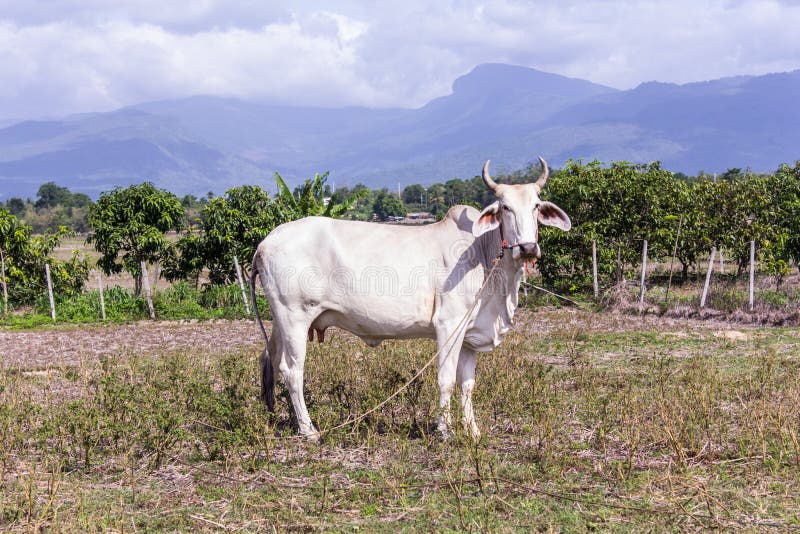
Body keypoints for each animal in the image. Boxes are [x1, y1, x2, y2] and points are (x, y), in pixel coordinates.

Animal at [250, 158, 571, 440]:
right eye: (505, 207)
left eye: (536, 206)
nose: (527, 248)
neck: (482, 252)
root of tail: (266, 242)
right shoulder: (448, 325)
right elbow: (445, 380)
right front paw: (445, 431)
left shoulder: (470, 335)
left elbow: (467, 385)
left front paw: (473, 432)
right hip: (294, 317)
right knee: (292, 371)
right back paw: (308, 430)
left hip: (281, 321)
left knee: (272, 361)